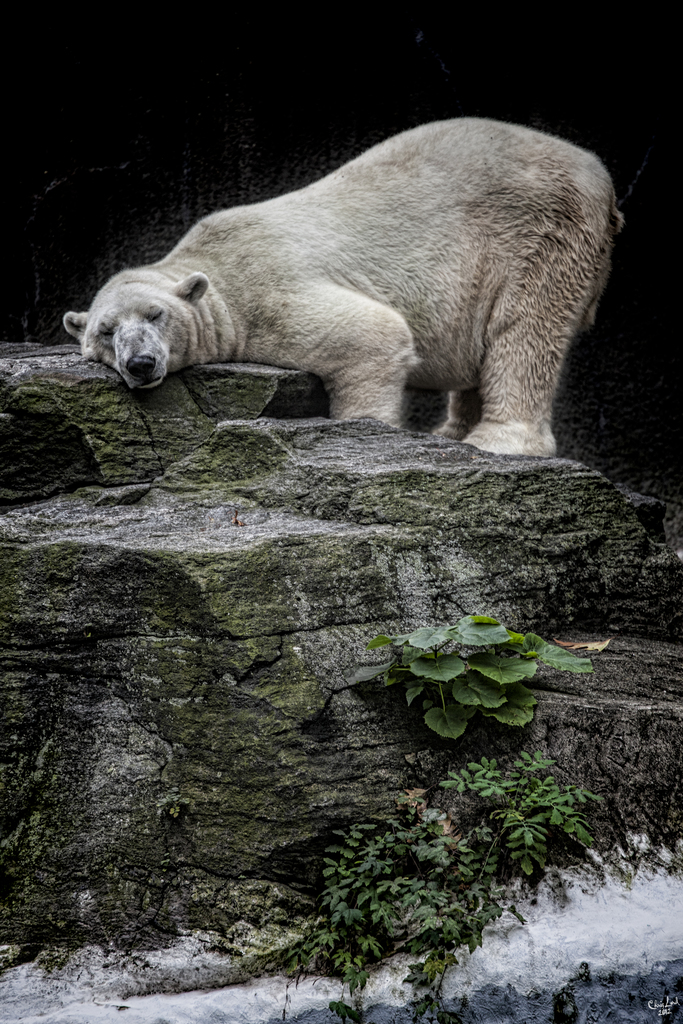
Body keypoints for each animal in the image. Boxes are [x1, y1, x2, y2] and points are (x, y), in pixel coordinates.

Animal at [63, 118, 623, 456]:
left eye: (156, 315)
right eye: (105, 332)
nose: (141, 364)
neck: (215, 266)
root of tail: (598, 174)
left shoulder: (268, 291)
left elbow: (374, 333)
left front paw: (364, 434)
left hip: (542, 233)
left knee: (524, 328)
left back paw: (496, 441)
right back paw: (452, 433)